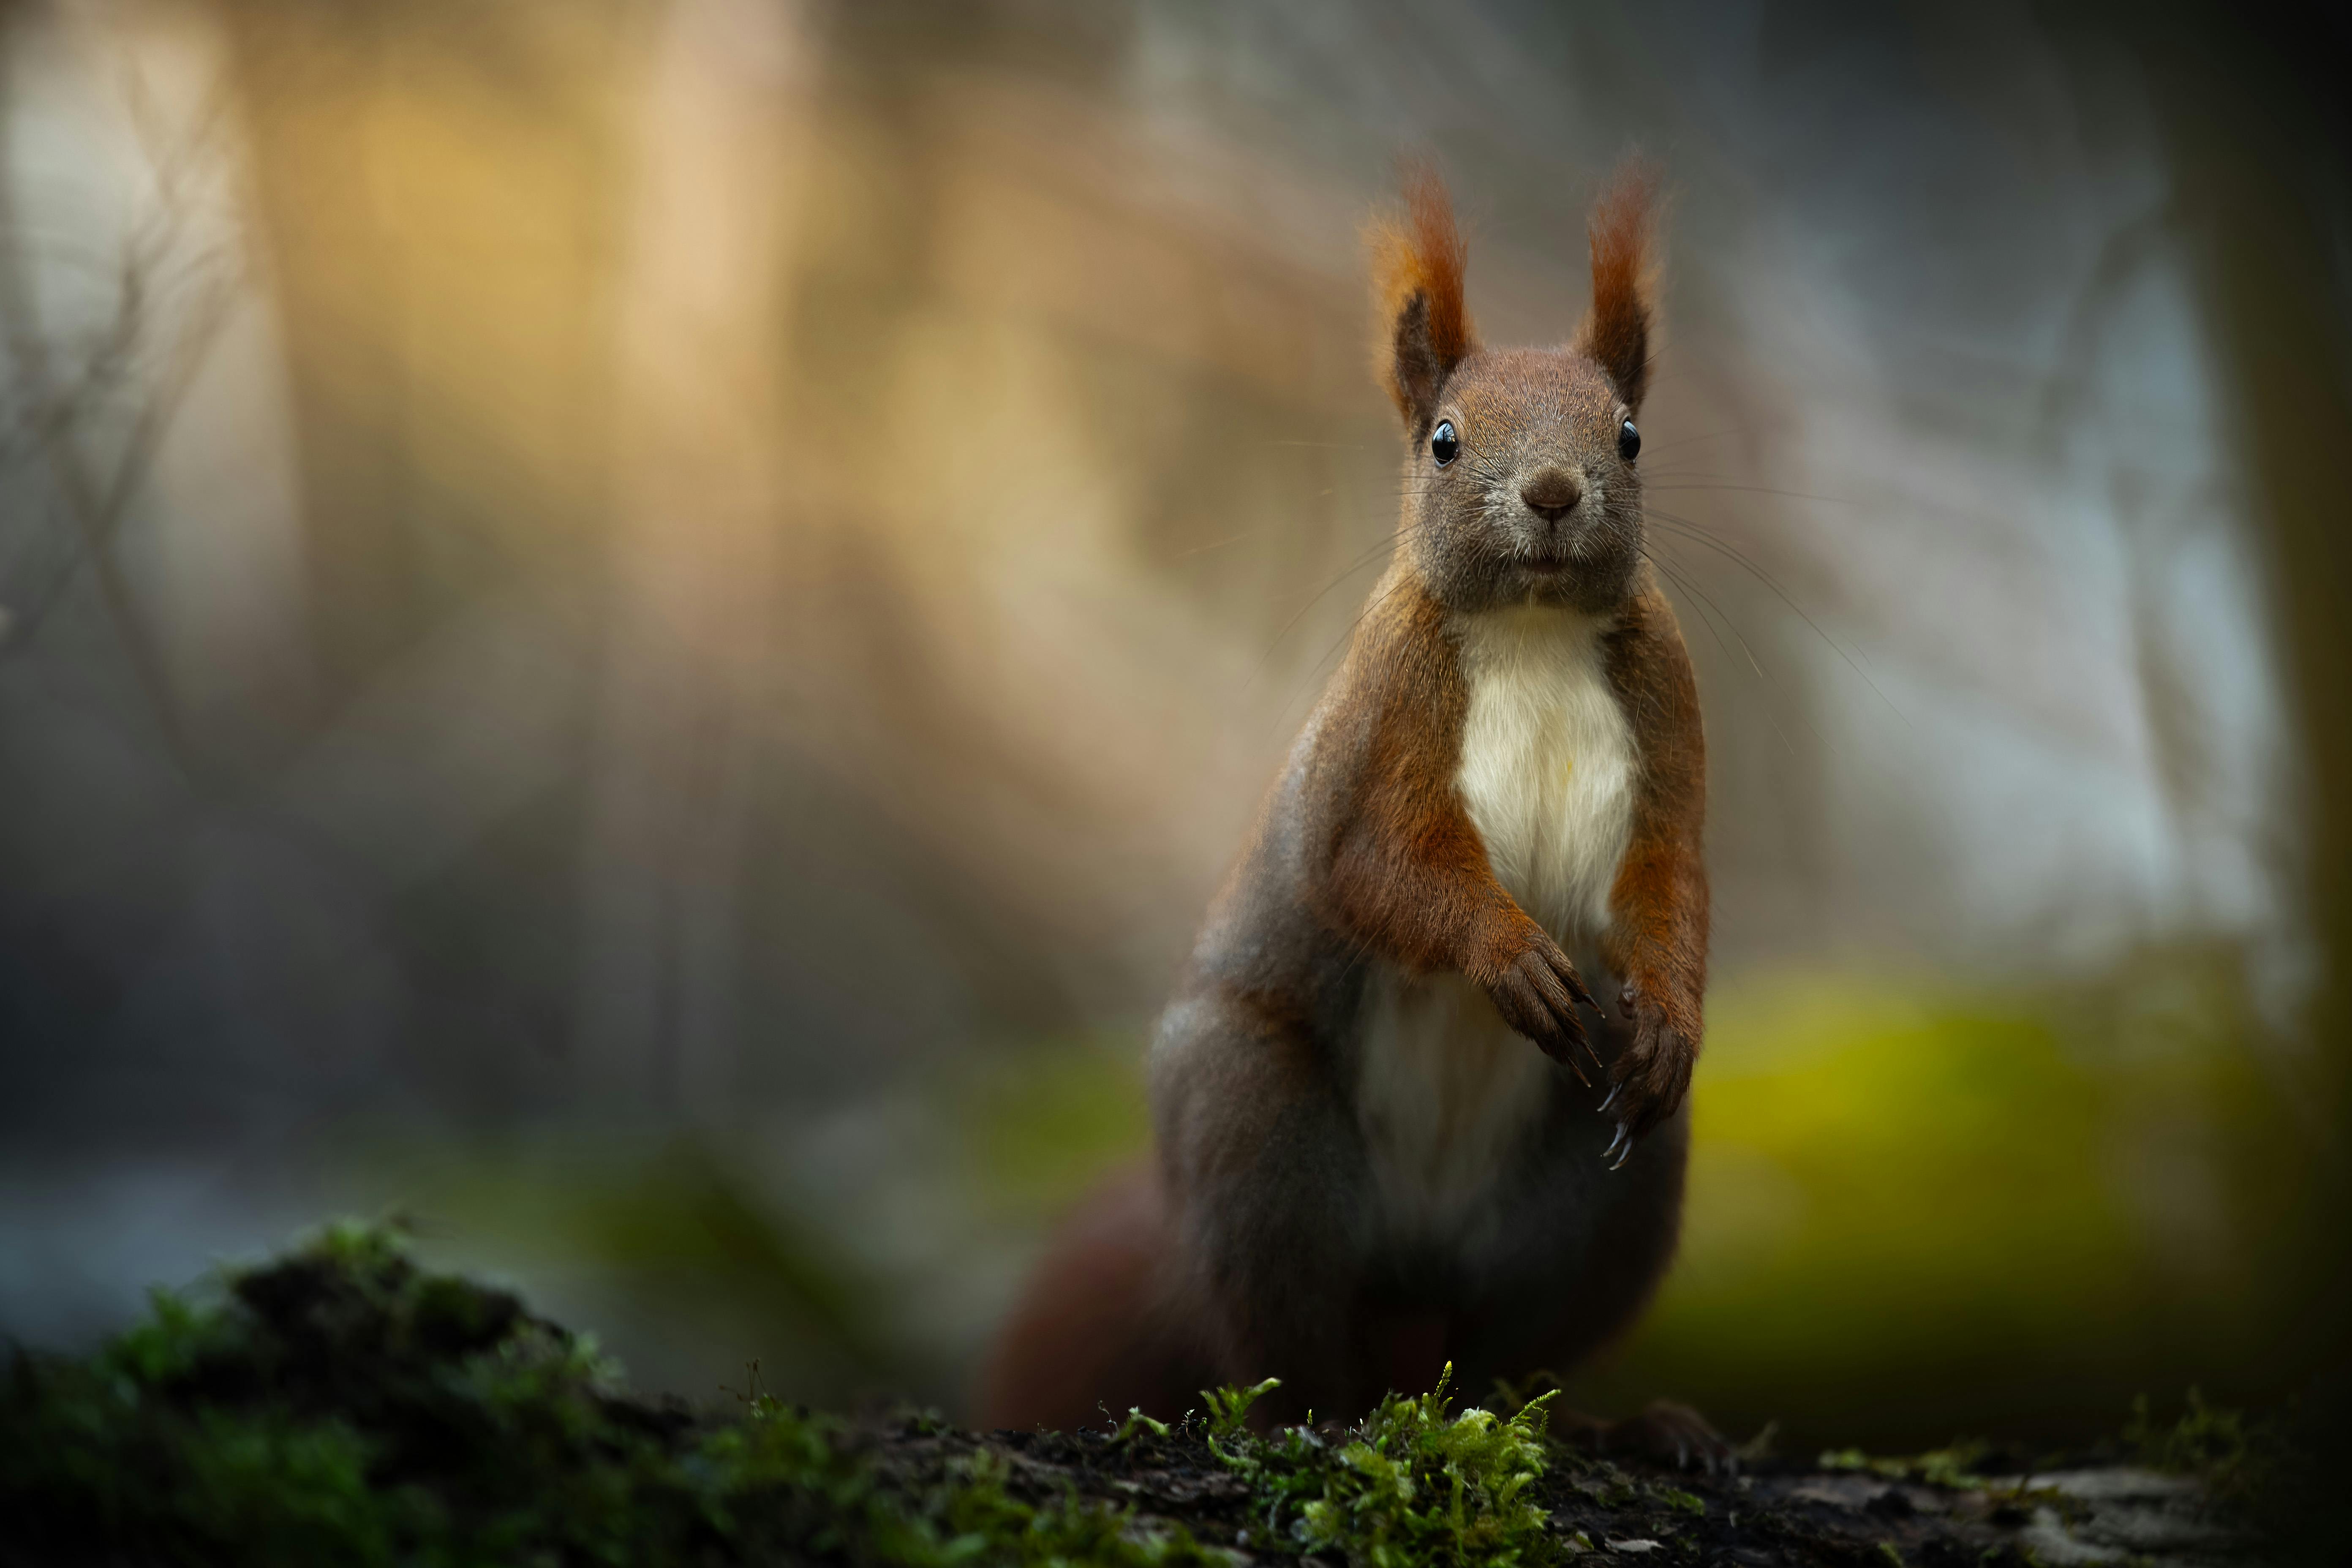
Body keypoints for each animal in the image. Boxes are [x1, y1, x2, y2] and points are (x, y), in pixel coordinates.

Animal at [980, 161, 1719, 1466]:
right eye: (1444, 441)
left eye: (1629, 437)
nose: (1552, 492)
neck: (1533, 629)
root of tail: (1409, 1290)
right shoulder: (1378, 721)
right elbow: (1363, 867)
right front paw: (1507, 956)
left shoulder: (1666, 711)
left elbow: (1670, 880)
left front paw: (1672, 1019)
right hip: (1255, 1123)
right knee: (1280, 1328)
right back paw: (1317, 1412)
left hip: (1604, 1188)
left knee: (1506, 1346)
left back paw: (1595, 1421)